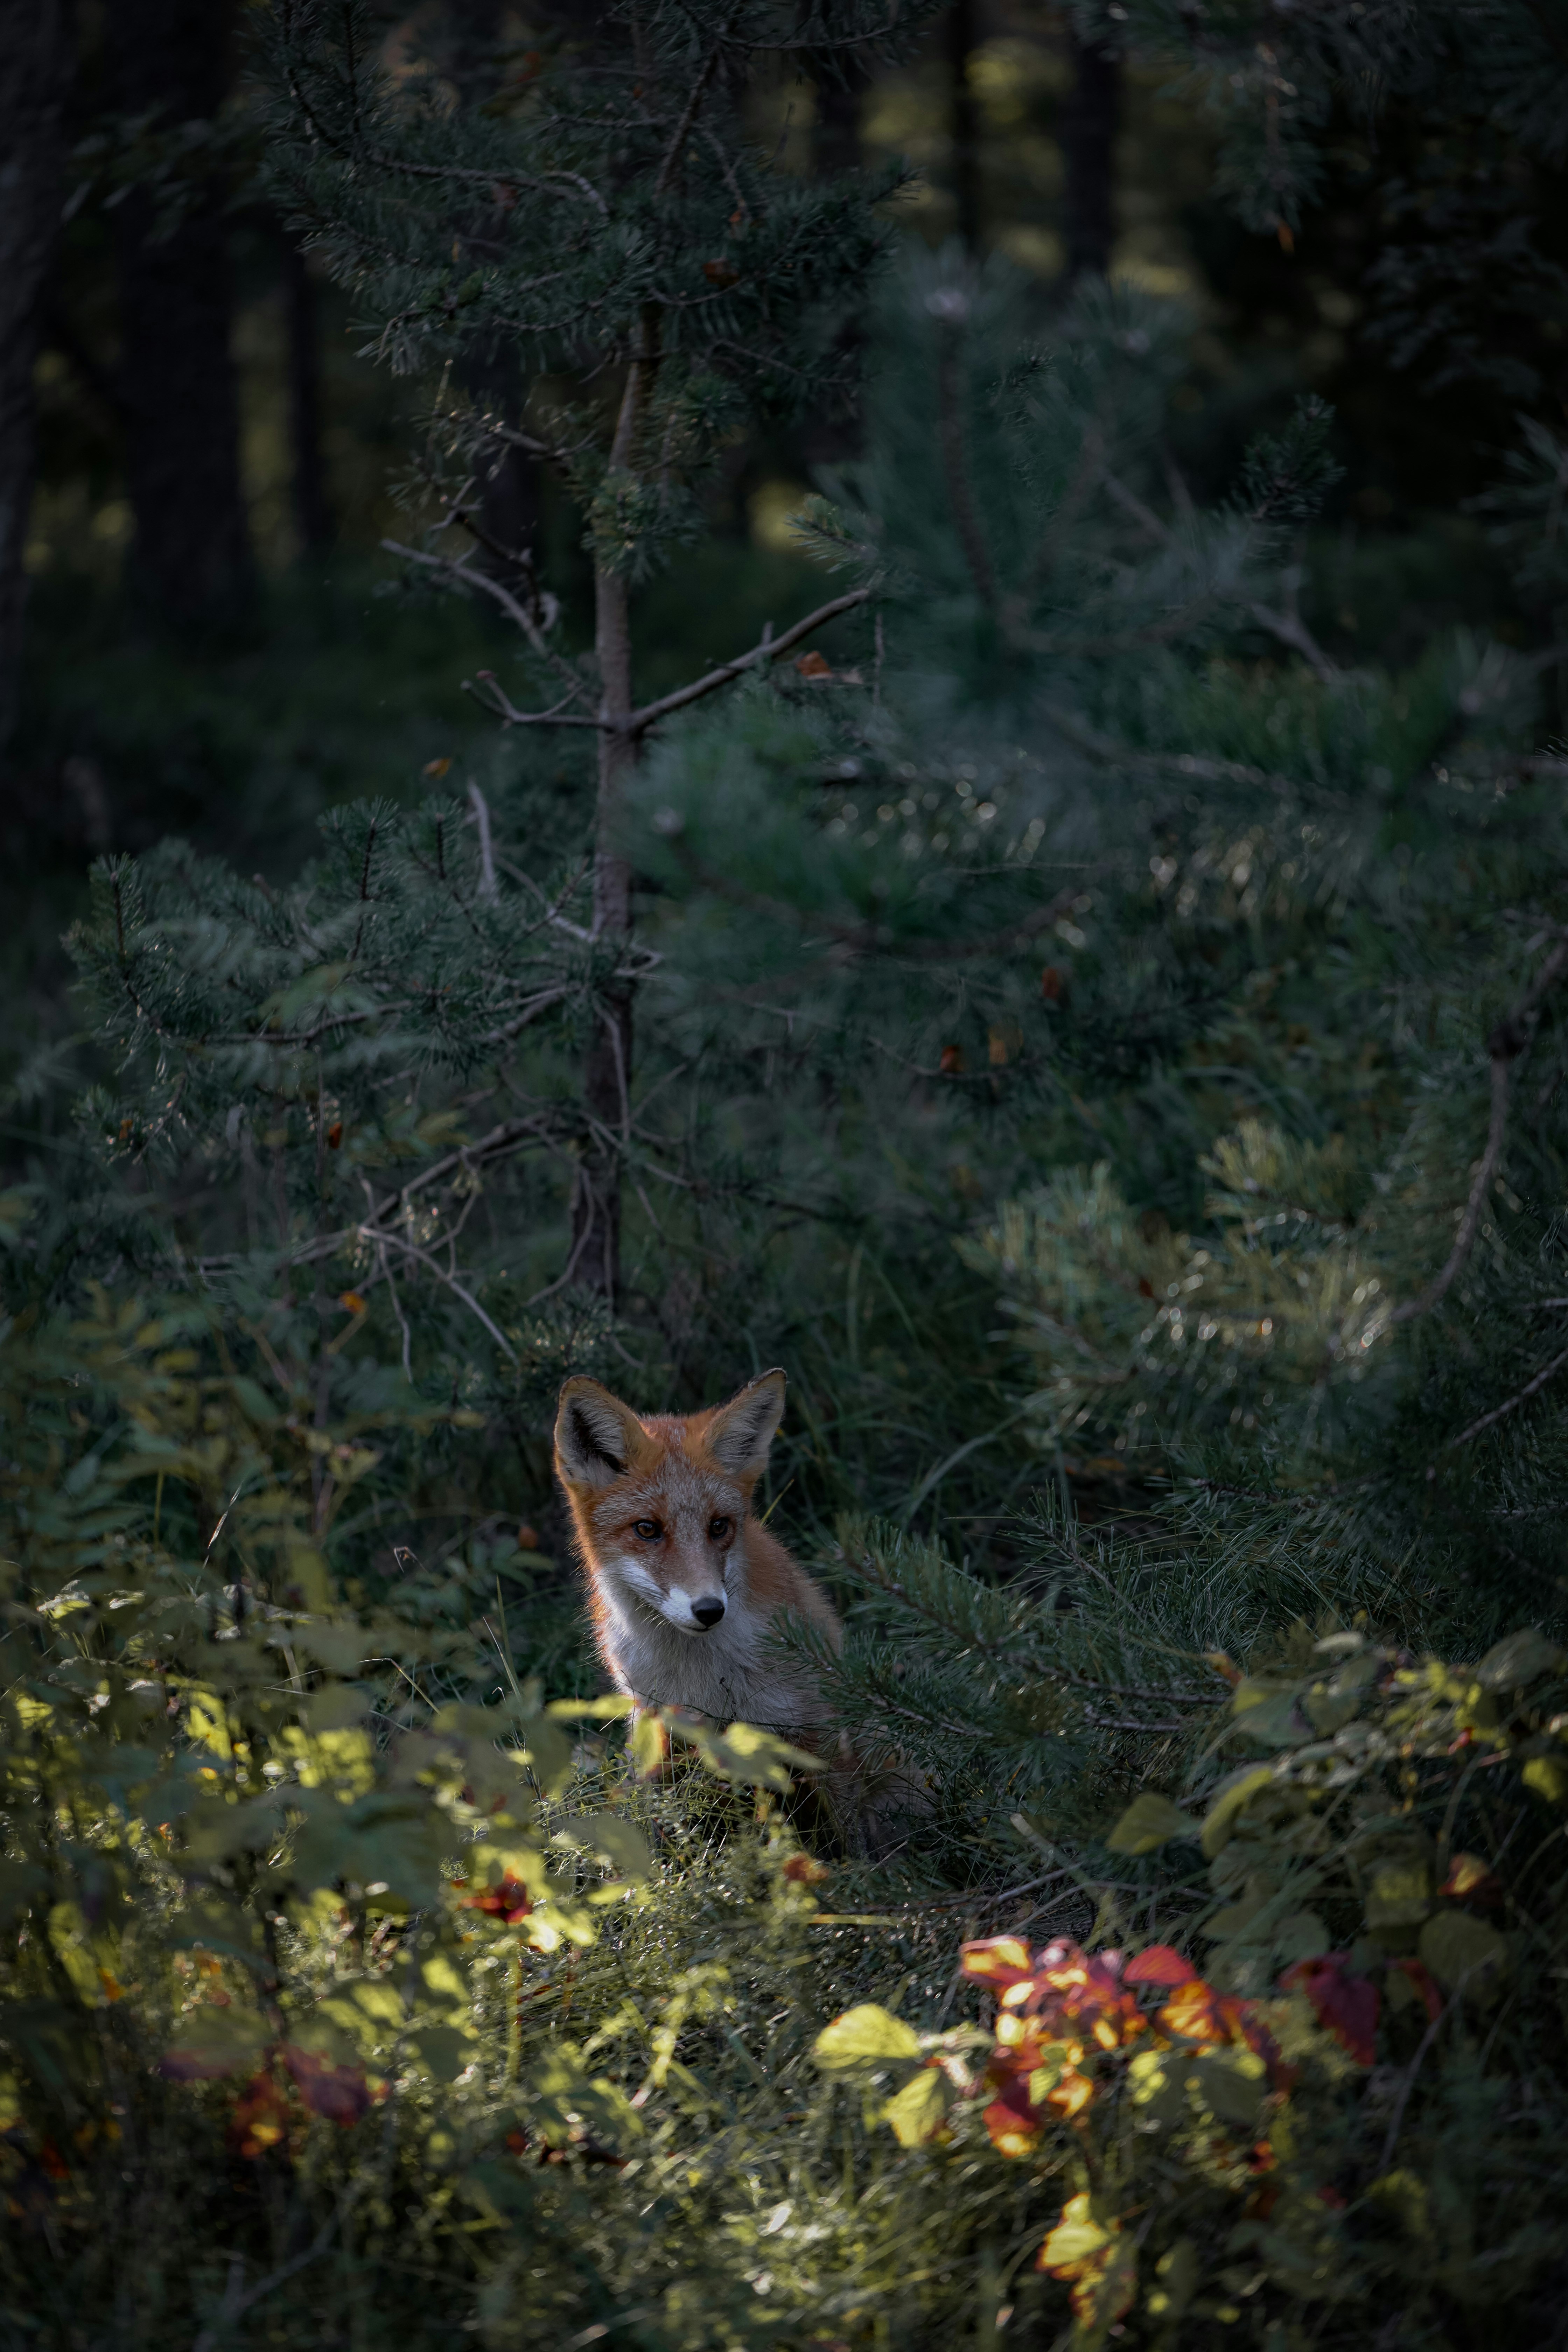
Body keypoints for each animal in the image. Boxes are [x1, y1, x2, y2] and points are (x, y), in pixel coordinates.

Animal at [552, 1366, 841, 1737]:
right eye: (647, 1529)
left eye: (718, 1526)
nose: (710, 1611)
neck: (695, 1676)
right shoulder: (655, 1717)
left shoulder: (812, 1724)